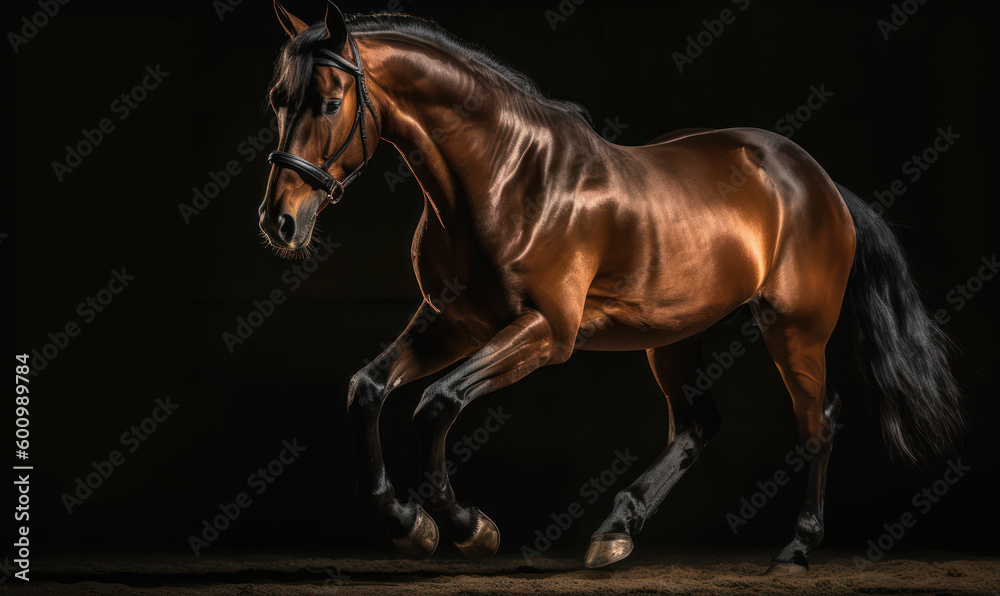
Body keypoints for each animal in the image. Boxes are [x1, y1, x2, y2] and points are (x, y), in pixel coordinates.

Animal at [257, 1, 964, 573]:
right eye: (277, 99)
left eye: (328, 102)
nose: (279, 221)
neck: (509, 177)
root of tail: (821, 184)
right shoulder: (454, 320)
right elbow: (367, 389)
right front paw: (406, 524)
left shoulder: (547, 331)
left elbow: (437, 403)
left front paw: (465, 529)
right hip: (673, 337)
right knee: (697, 427)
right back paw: (617, 531)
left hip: (794, 331)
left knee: (818, 422)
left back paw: (794, 548)